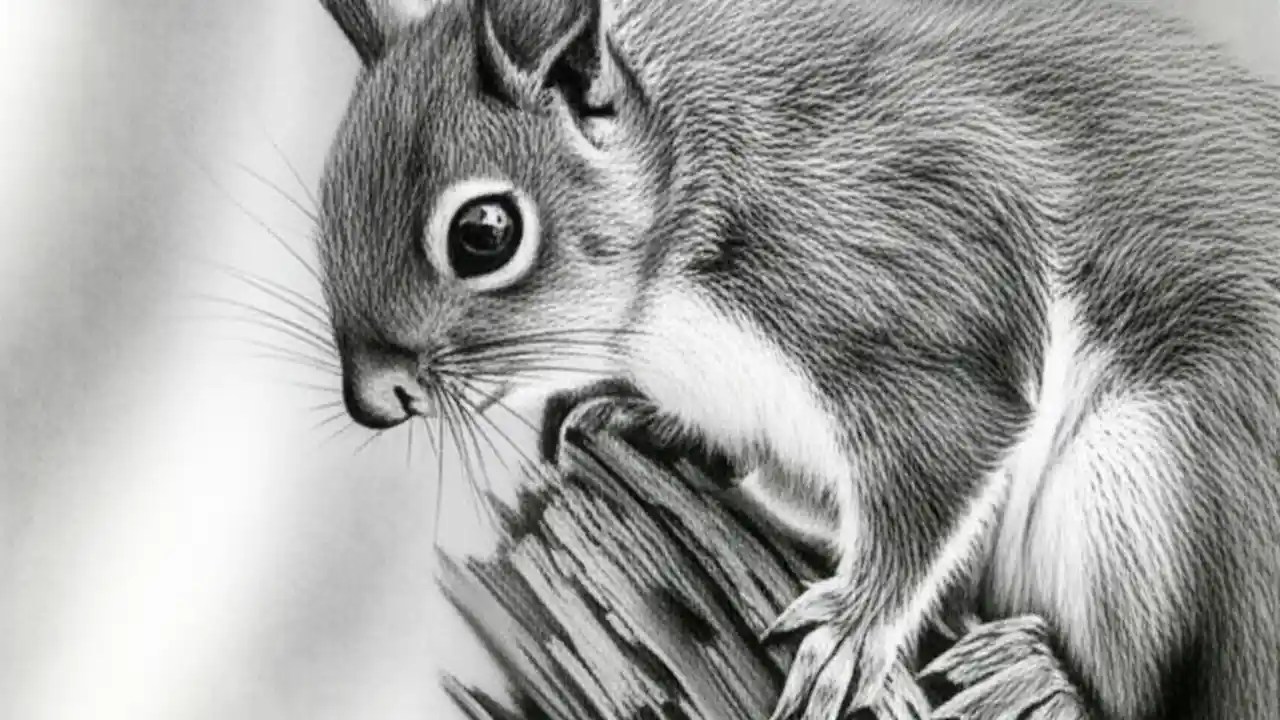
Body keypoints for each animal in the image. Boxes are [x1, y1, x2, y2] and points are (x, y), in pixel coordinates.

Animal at [314, 0, 1280, 717]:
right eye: (330, 202)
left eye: (484, 232)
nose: (371, 399)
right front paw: (633, 411)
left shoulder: (898, 268)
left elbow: (947, 457)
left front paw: (855, 627)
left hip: (1139, 493)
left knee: (1134, 687)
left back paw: (1040, 678)